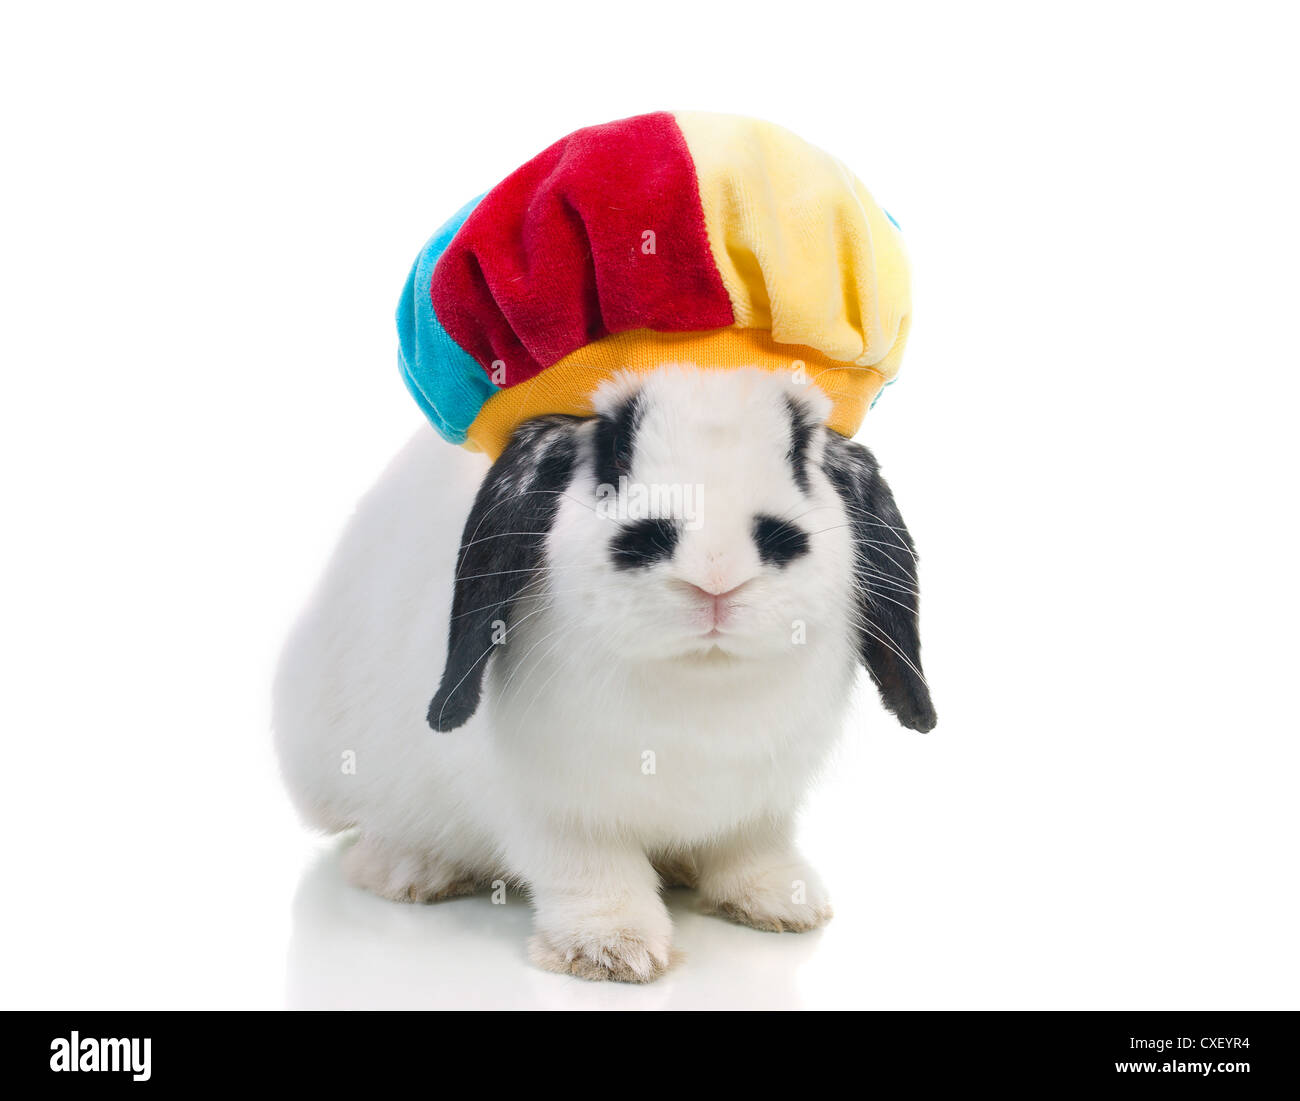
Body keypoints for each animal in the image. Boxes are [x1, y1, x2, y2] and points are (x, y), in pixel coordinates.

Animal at [273, 363, 936, 983]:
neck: (699, 681)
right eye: (614, 449)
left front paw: (782, 903)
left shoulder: (762, 804)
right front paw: (613, 951)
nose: (716, 574)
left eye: (800, 450)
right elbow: (591, 871)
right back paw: (411, 871)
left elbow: (751, 846)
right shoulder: (554, 811)